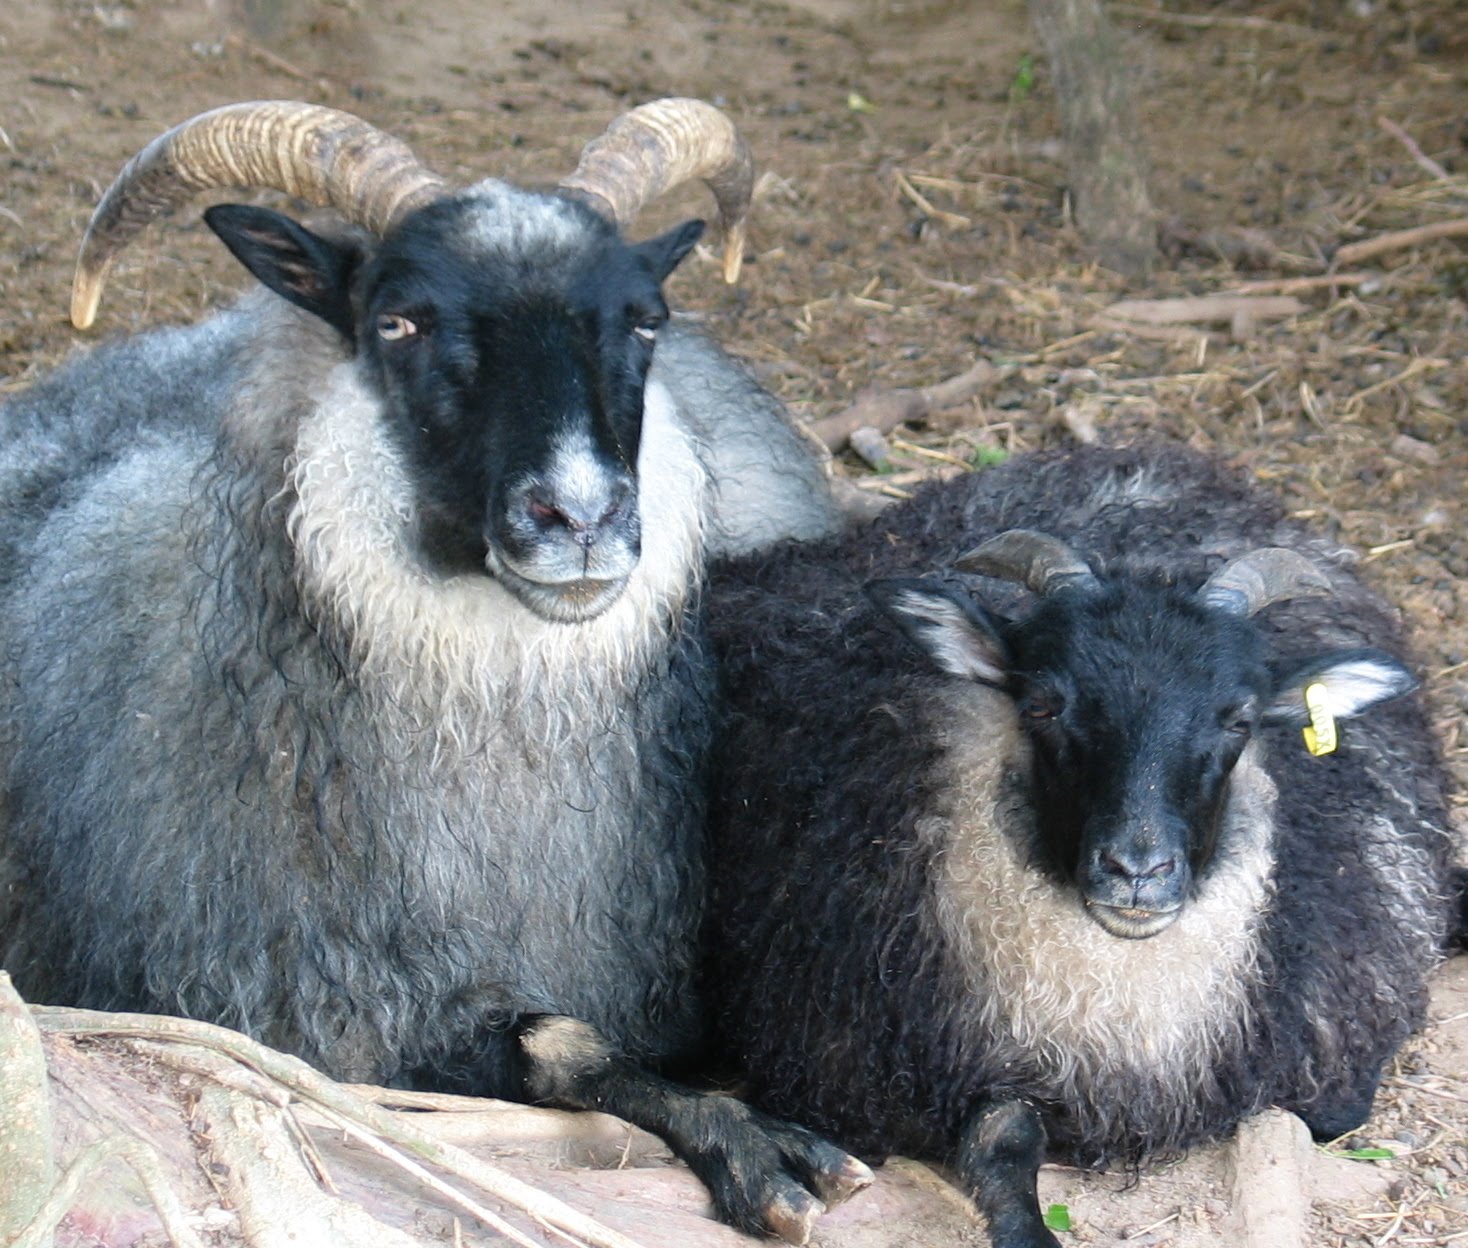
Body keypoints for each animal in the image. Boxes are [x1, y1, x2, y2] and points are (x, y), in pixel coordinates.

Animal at [0, 99, 865, 1241]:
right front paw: (756, 1146)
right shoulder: (310, 1008)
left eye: (644, 319)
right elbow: (564, 1044)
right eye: (398, 323)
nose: (580, 517)